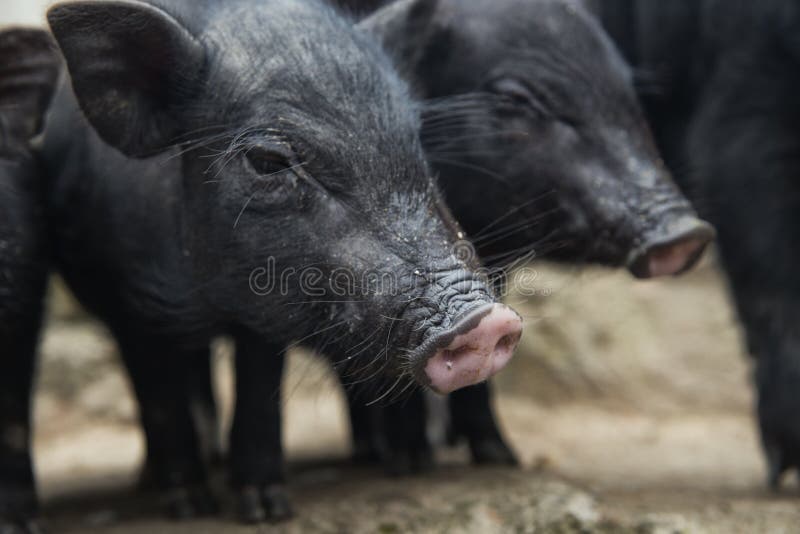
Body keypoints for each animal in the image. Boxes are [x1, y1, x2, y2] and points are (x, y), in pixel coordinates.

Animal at [42, 0, 523, 523]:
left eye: (415, 143)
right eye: (268, 161)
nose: (486, 322)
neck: (203, 300)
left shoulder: (266, 314)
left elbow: (259, 393)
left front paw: (267, 510)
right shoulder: (132, 307)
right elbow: (161, 401)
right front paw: (190, 508)